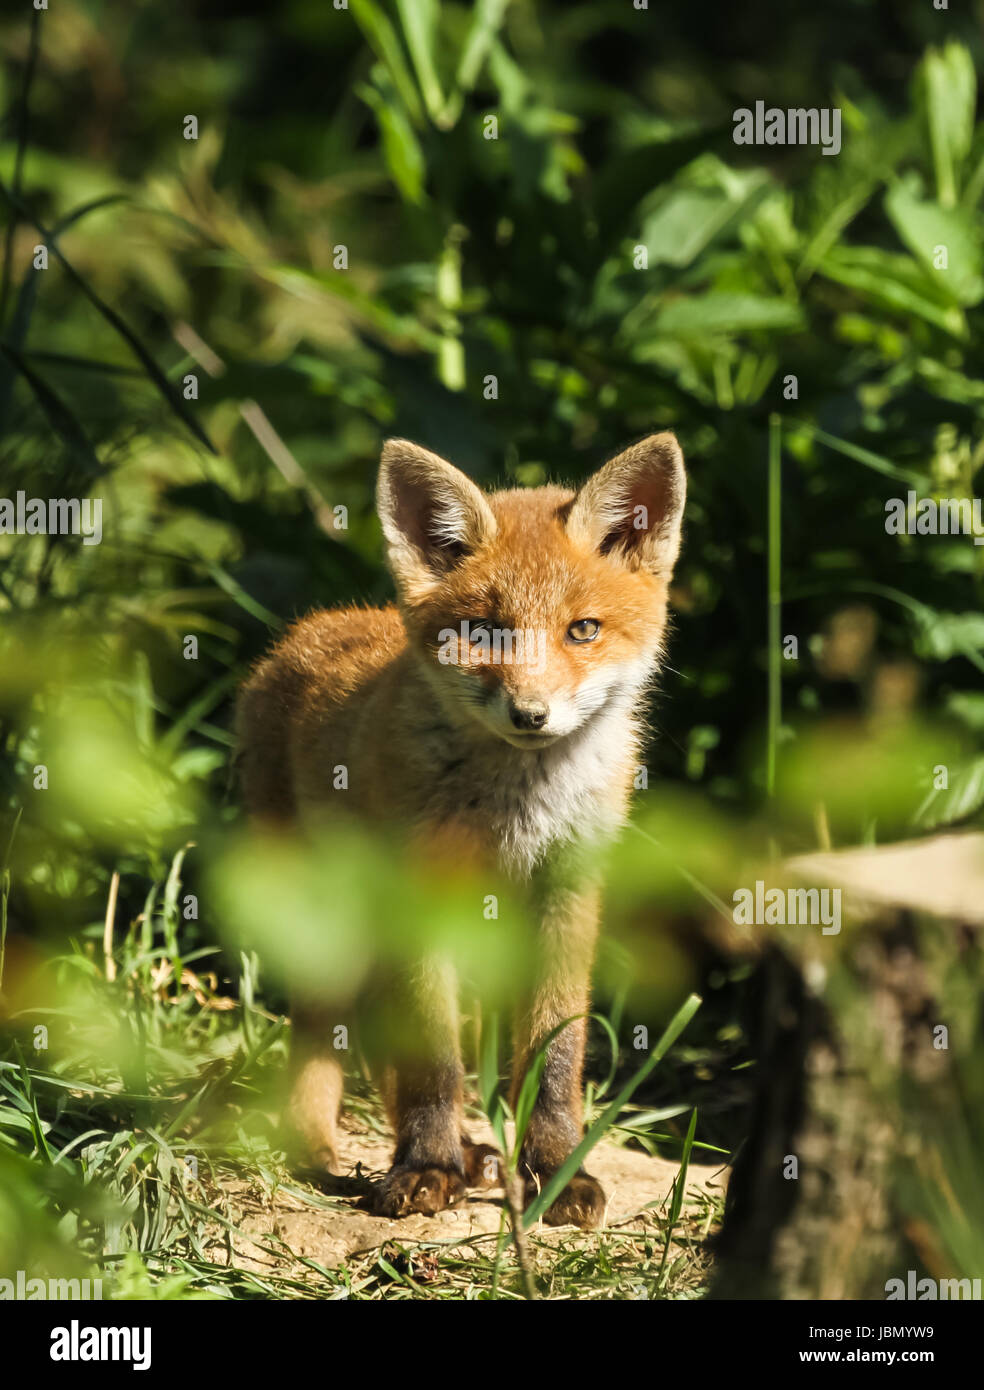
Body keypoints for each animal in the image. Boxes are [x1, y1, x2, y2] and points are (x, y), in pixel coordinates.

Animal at [236, 432, 686, 1228]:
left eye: (583, 630)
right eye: (483, 633)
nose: (531, 715)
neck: (517, 806)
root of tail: (307, 630)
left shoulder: (566, 893)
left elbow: (553, 1056)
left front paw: (555, 1173)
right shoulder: (419, 888)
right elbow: (434, 1063)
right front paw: (427, 1169)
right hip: (325, 914)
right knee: (325, 1029)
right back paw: (314, 1147)